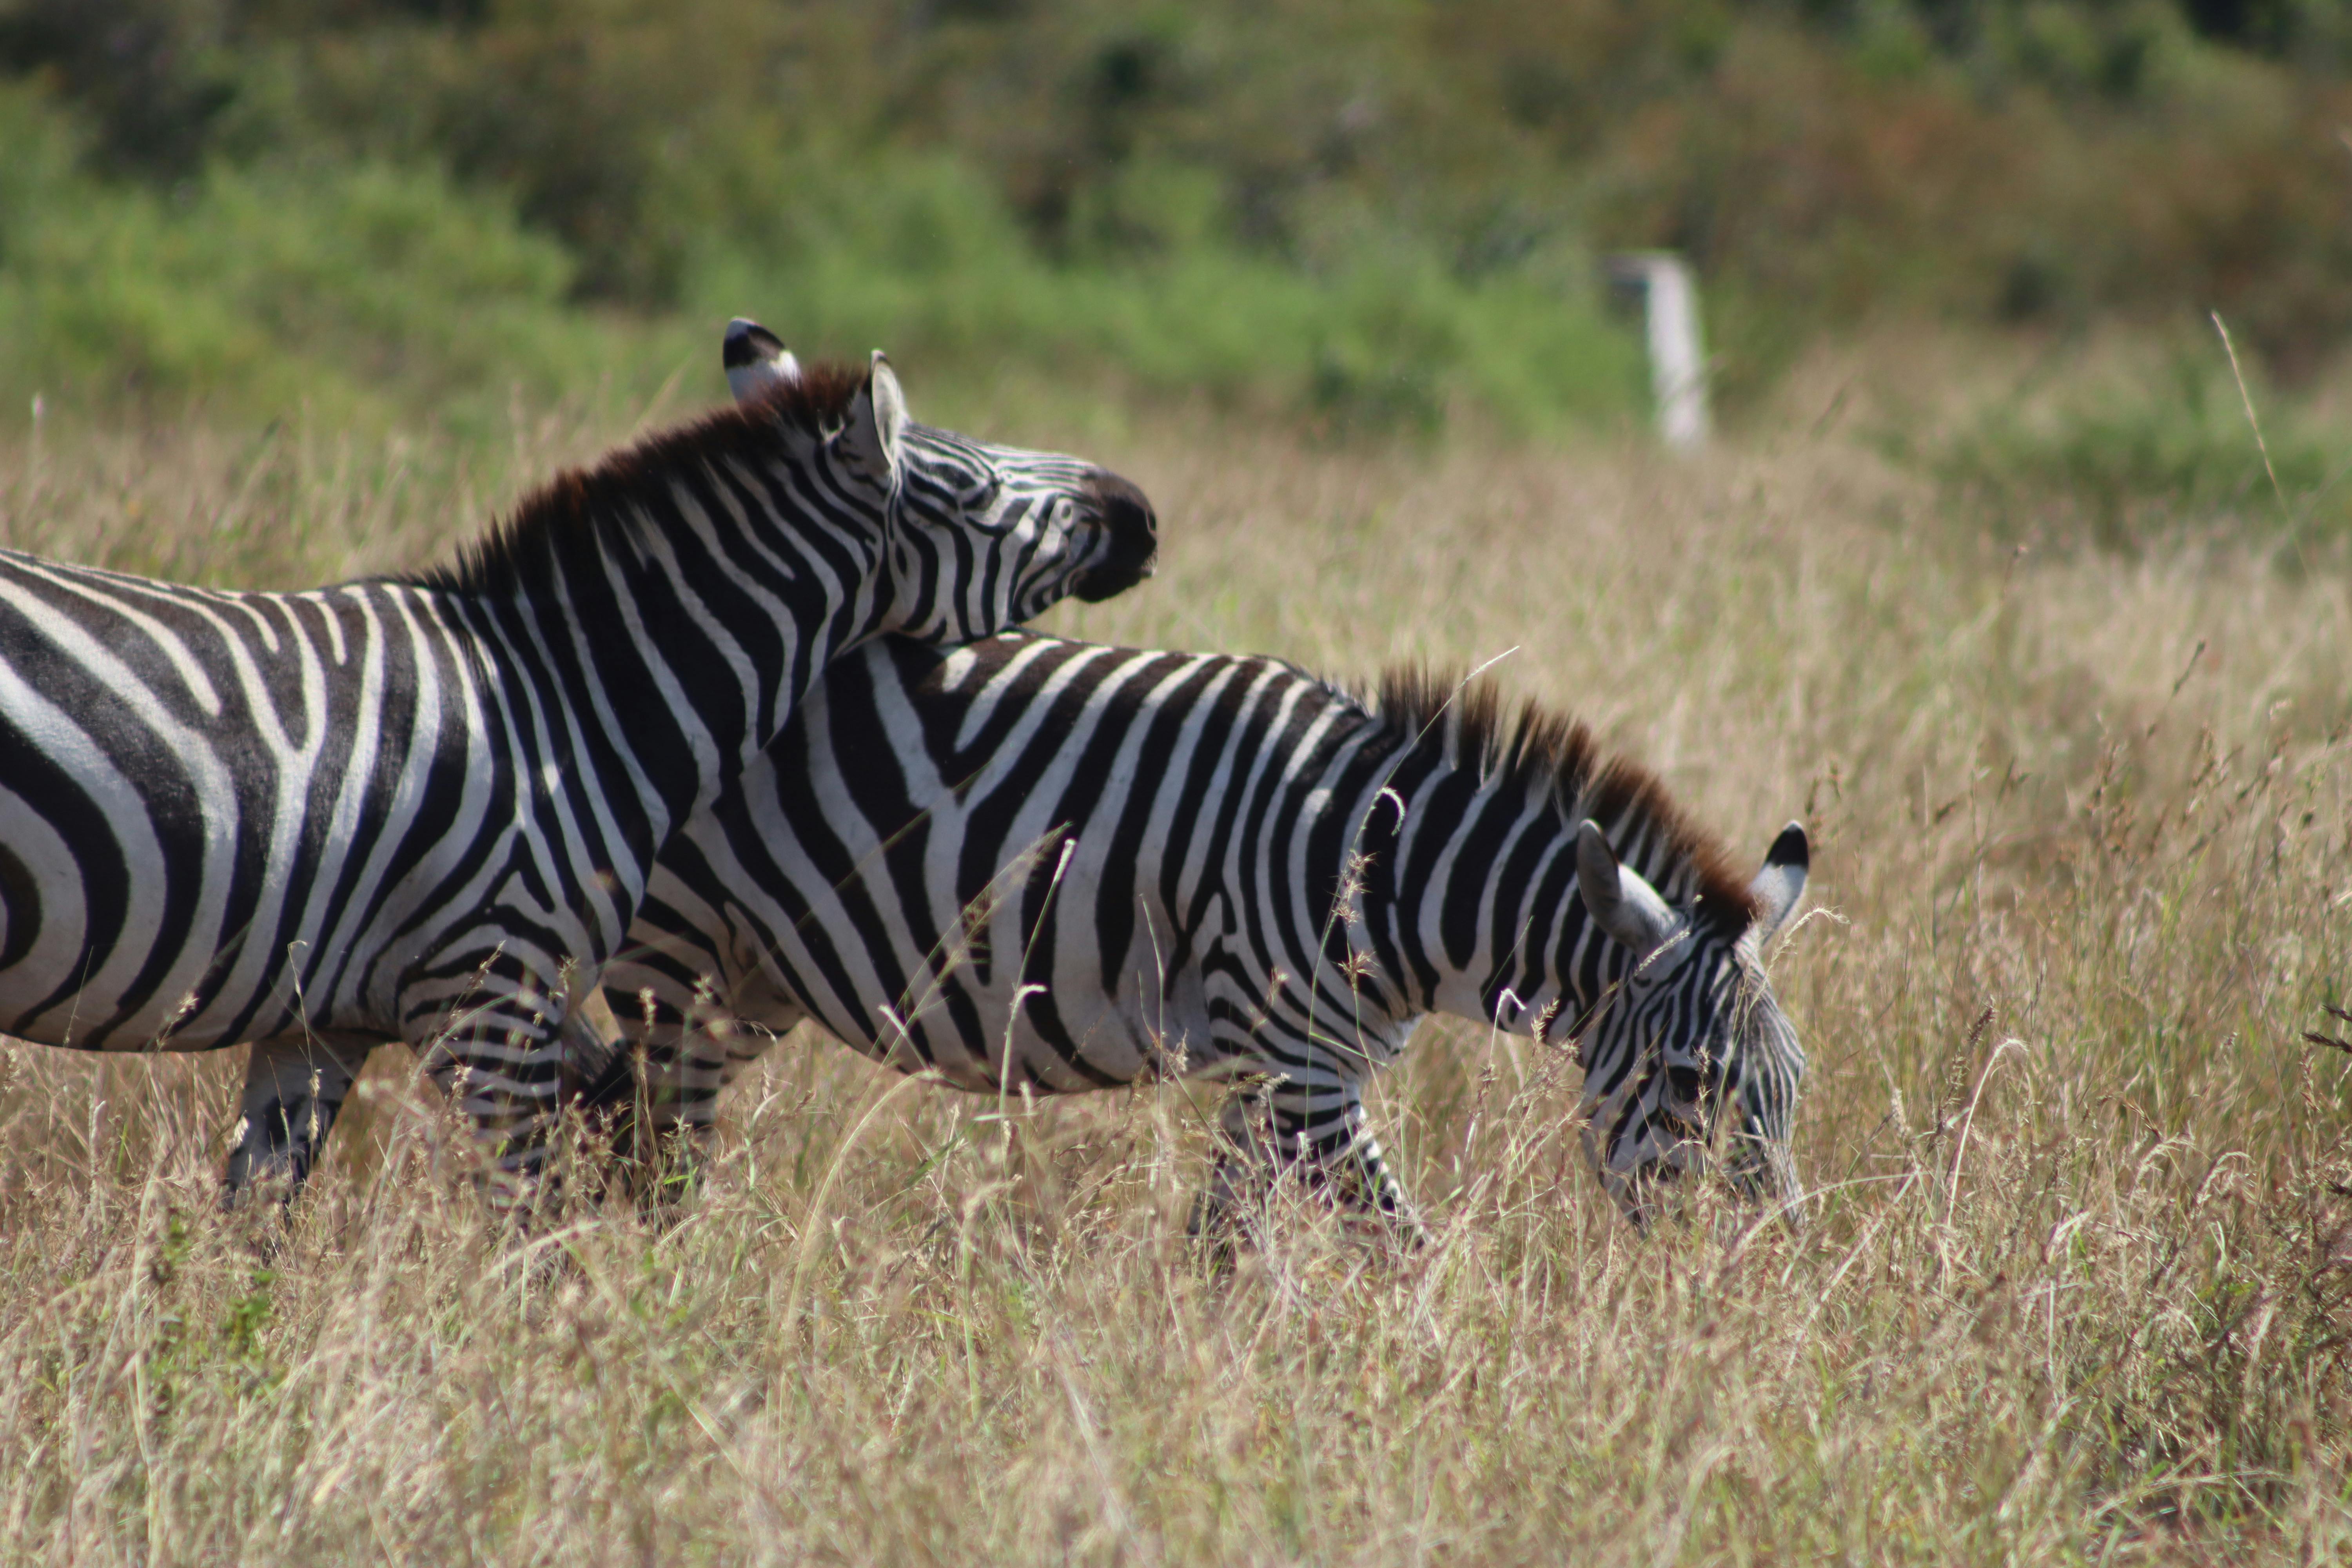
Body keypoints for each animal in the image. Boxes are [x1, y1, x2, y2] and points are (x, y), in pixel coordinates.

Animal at [0, 329, 1157, 1198]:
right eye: (974, 492)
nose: (1141, 509)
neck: (573, 697)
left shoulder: (318, 1018)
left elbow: (257, 1220)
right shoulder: (494, 990)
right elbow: (535, 1224)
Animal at [556, 630, 1811, 1234]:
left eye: (1793, 1089)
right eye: (1694, 1081)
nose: (1761, 1281)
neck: (1378, 867)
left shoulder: (1280, 1076)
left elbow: (1222, 1243)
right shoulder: (1305, 1077)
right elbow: (1403, 1246)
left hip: (746, 981)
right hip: (676, 949)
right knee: (645, 1149)